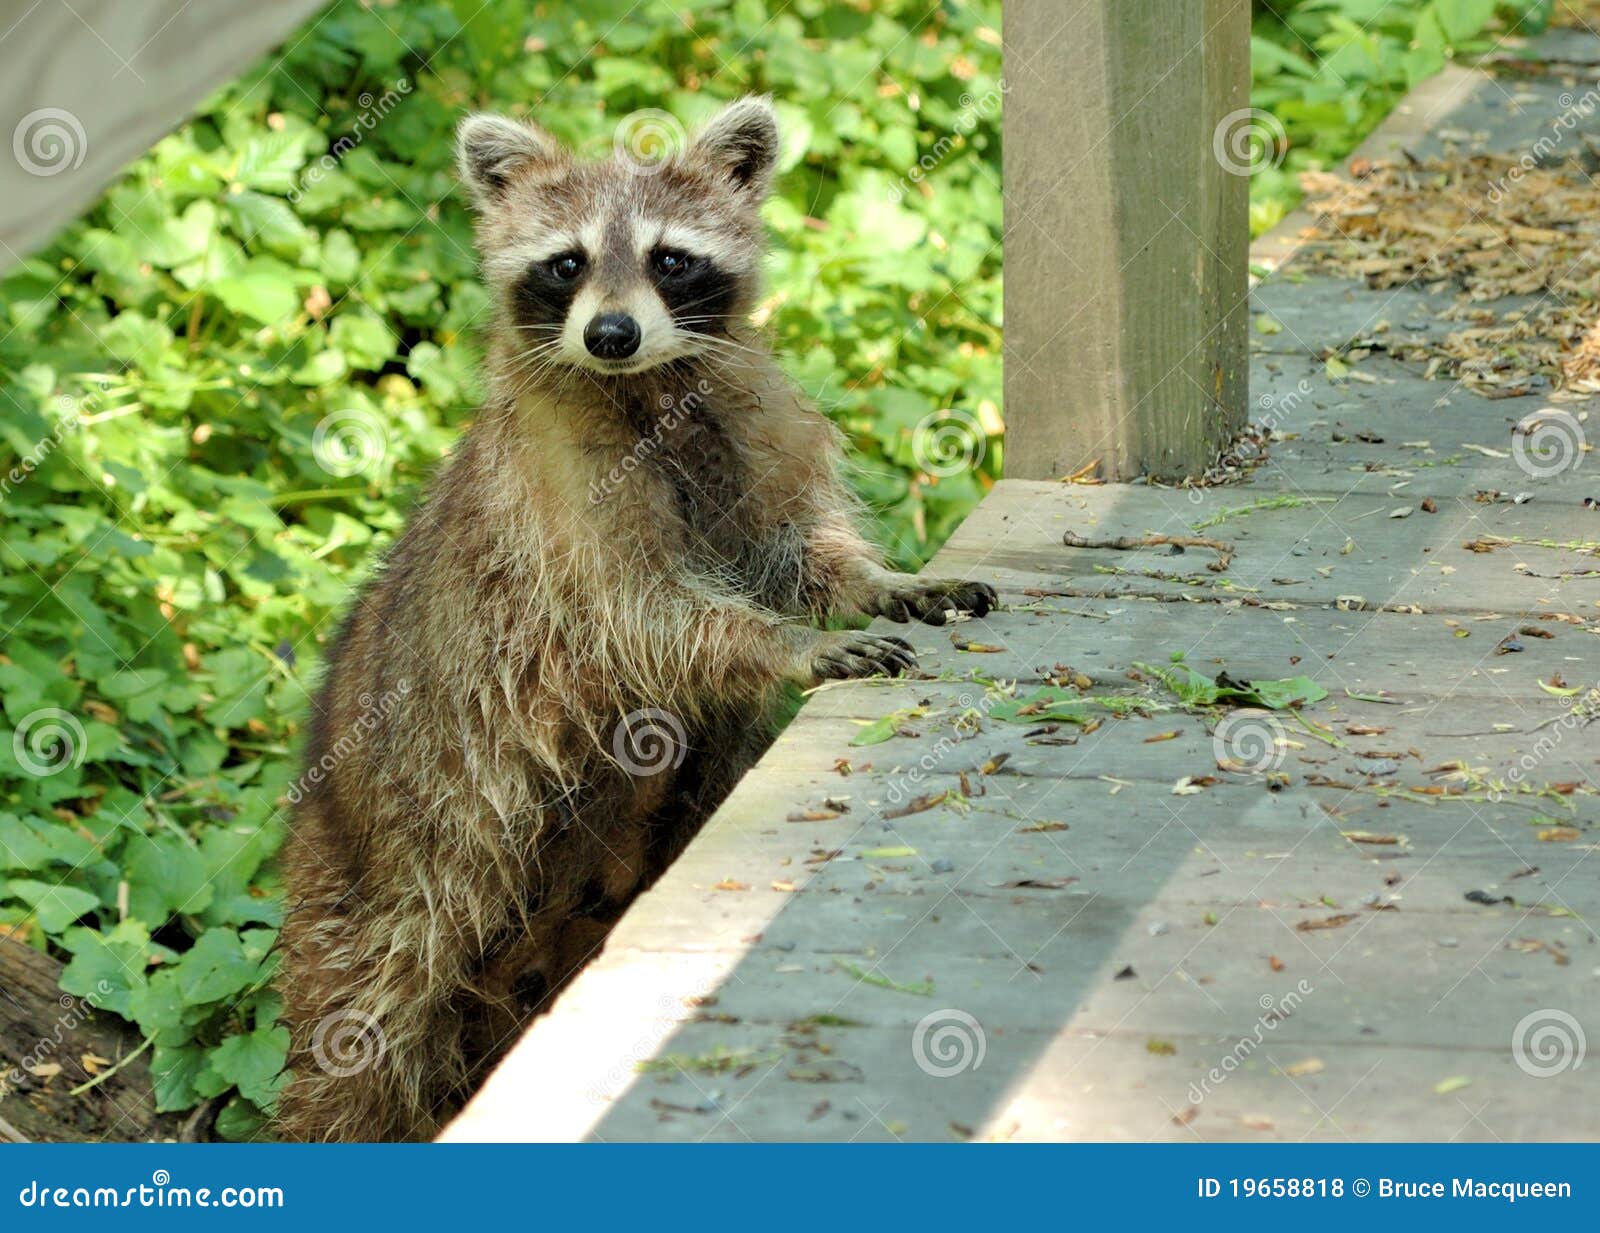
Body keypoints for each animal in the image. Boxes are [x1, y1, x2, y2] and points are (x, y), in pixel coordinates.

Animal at [275, 96, 995, 1142]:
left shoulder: (752, 432)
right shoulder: (560, 505)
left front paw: (876, 580)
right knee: (359, 1036)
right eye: (567, 262)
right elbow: (647, 619)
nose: (611, 333)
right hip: (386, 875)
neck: (647, 387)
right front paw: (786, 643)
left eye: (670, 258)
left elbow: (798, 553)